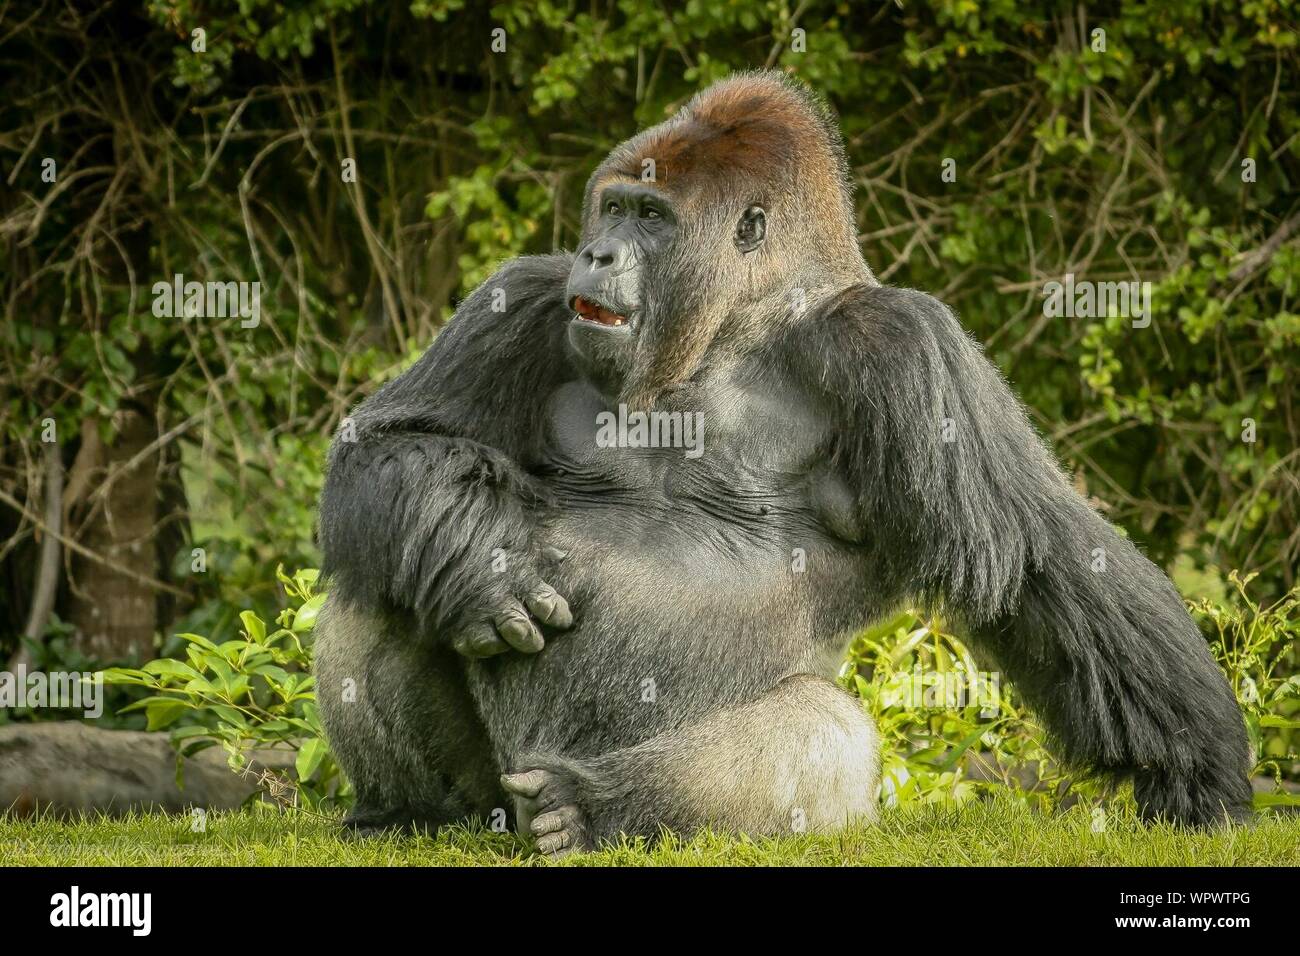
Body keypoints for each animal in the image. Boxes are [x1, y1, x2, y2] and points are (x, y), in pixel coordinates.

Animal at [315, 71, 1252, 855]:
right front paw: (485, 563)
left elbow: (1032, 557)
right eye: (612, 209)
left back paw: (598, 810)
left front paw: (1201, 774)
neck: (737, 322)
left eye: (650, 220)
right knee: (387, 573)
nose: (598, 255)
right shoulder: (527, 296)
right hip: (493, 792)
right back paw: (417, 809)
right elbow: (390, 442)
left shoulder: (901, 342)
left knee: (826, 728)